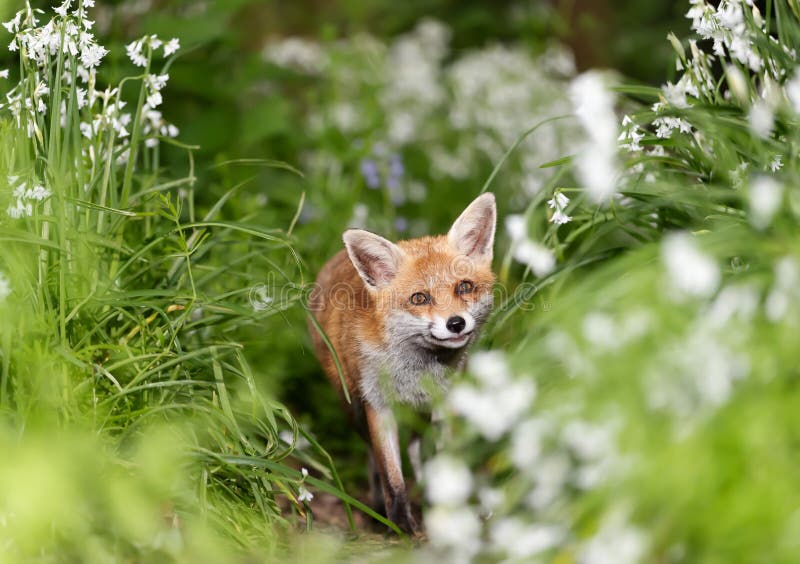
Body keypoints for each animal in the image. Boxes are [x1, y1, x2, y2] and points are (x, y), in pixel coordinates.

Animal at [307, 193, 496, 534]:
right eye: (420, 298)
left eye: (464, 287)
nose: (456, 324)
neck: (417, 370)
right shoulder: (378, 407)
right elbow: (392, 476)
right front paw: (400, 527)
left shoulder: (445, 404)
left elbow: (444, 461)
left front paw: (448, 508)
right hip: (352, 408)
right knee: (373, 456)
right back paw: (377, 507)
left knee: (415, 449)